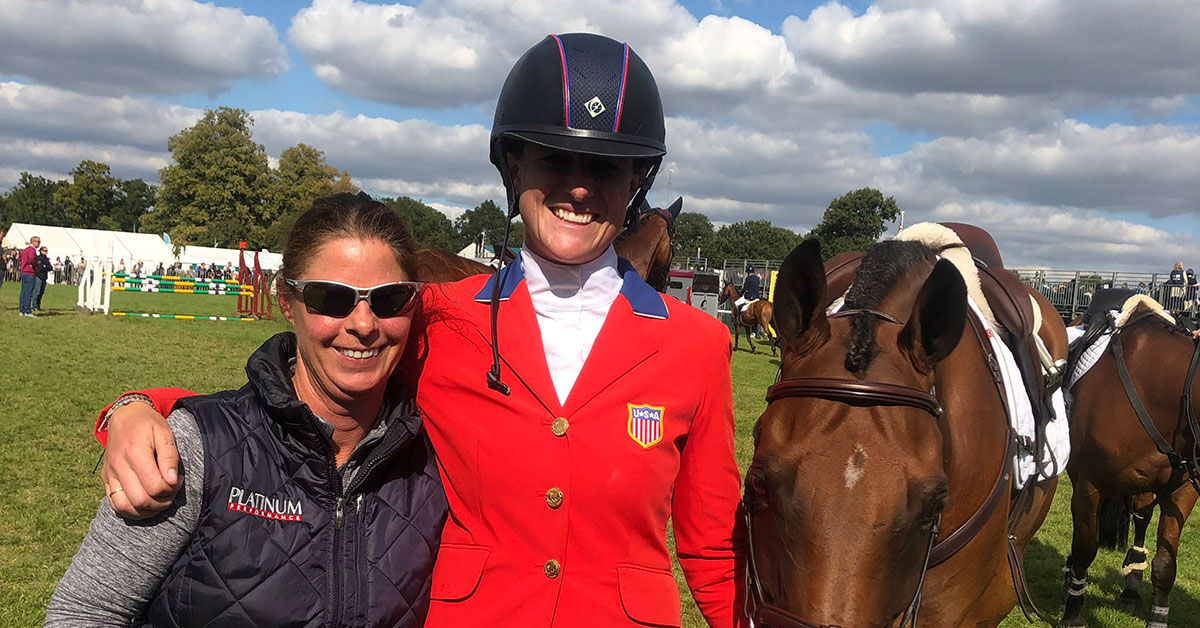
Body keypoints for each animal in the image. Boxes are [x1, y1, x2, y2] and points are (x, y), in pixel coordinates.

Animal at [1060, 294, 1200, 628]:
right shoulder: (1089, 486)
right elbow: (1085, 547)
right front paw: (1073, 611)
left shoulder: (1183, 491)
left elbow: (1165, 564)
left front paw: (1157, 618)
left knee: (1141, 514)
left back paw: (1133, 578)